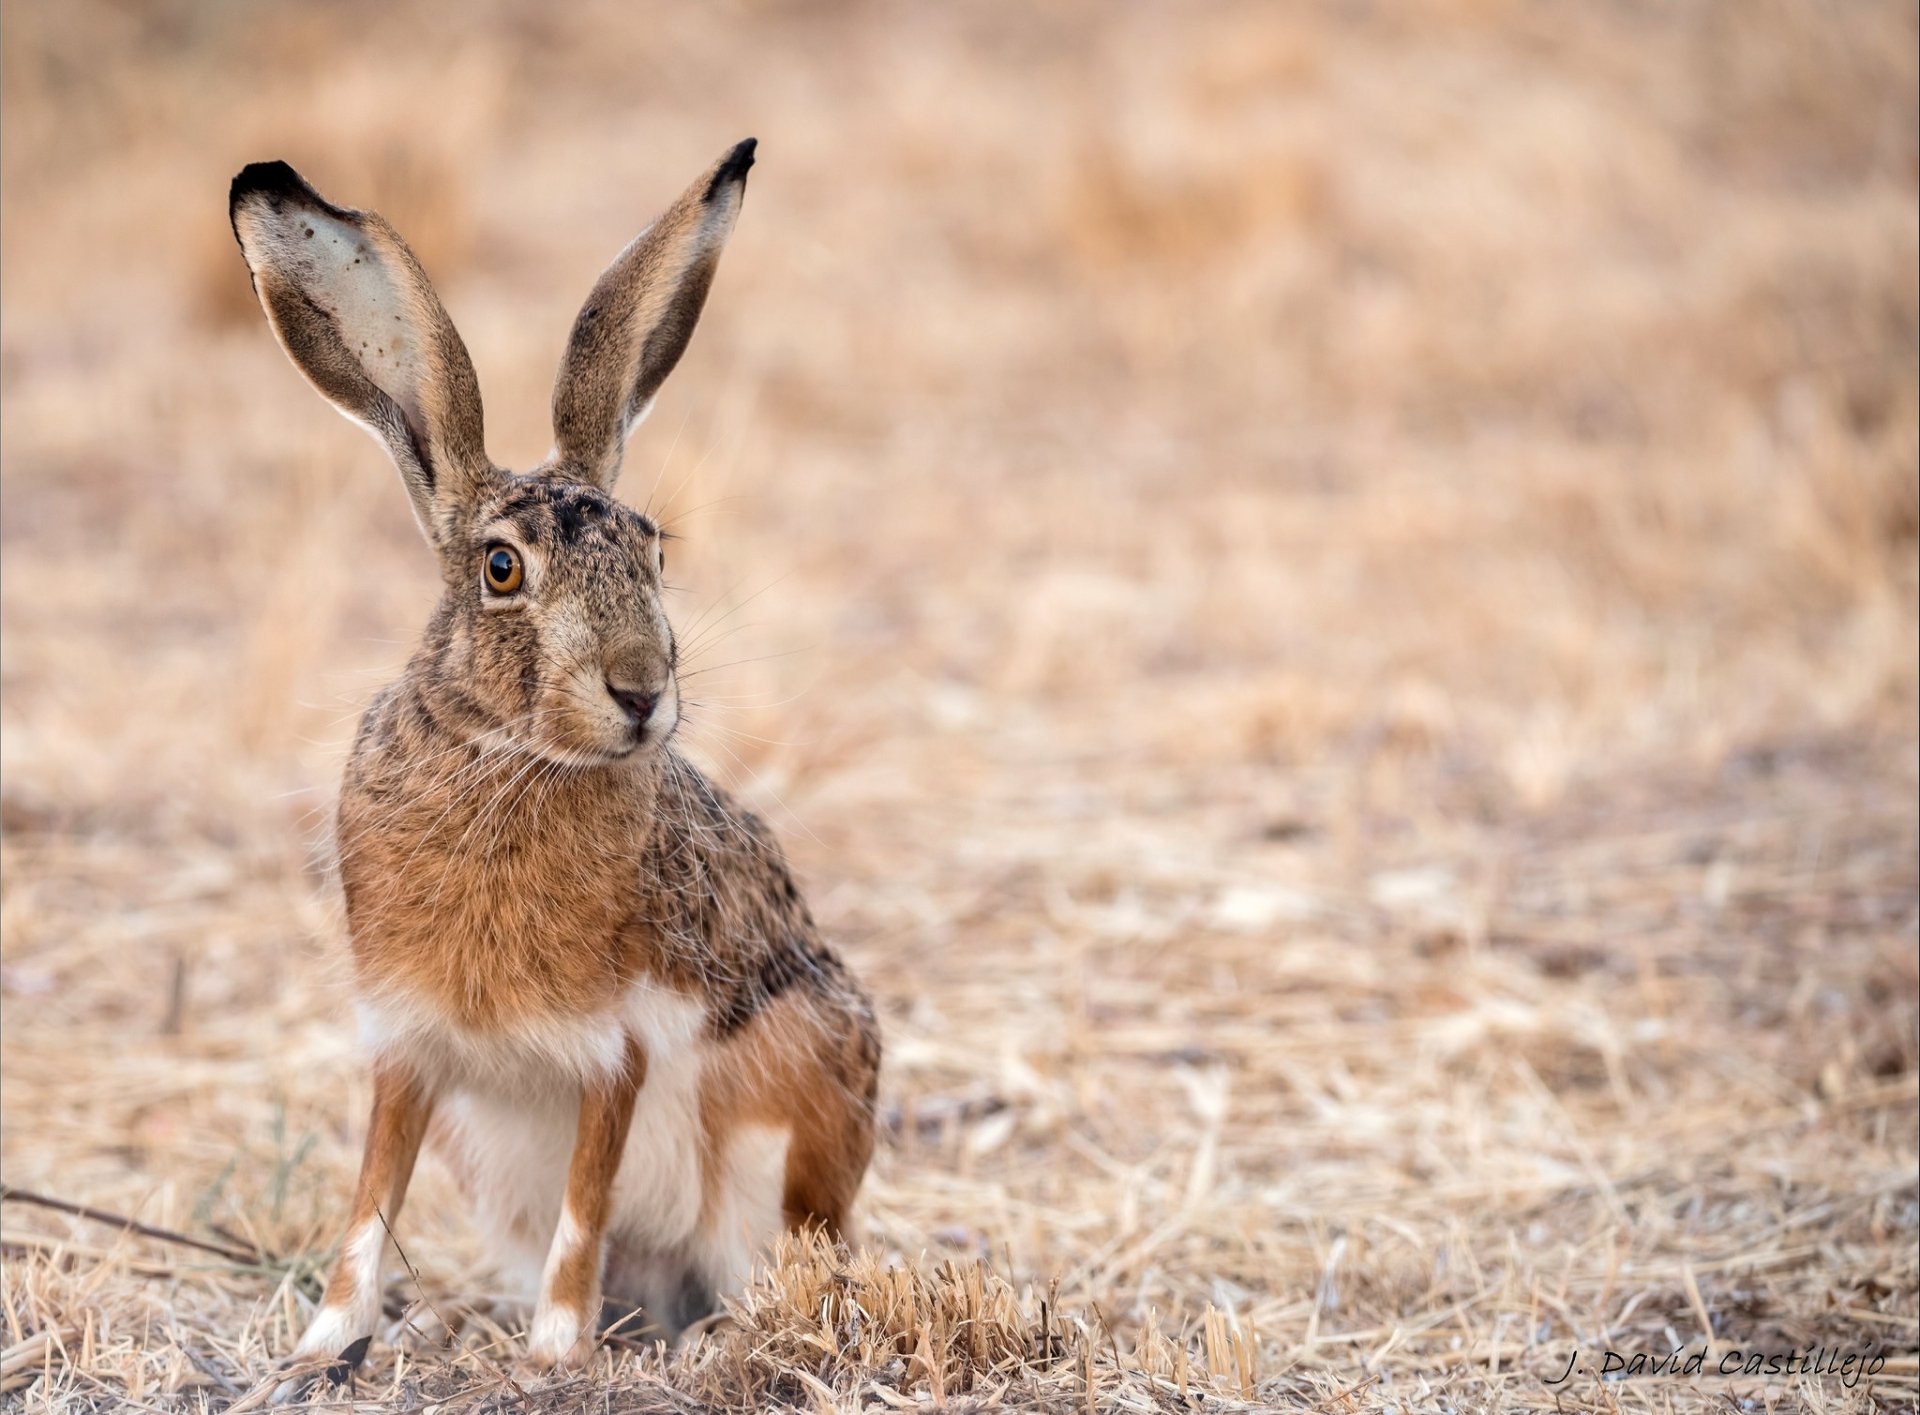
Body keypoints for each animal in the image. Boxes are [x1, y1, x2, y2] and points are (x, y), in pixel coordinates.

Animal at [229, 140, 879, 1383]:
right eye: (500, 569)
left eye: (653, 550)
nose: (641, 691)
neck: (511, 758)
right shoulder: (407, 1046)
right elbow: (368, 1202)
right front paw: (320, 1342)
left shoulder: (611, 1052)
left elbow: (587, 1209)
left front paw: (555, 1349)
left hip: (786, 1111)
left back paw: (710, 1335)